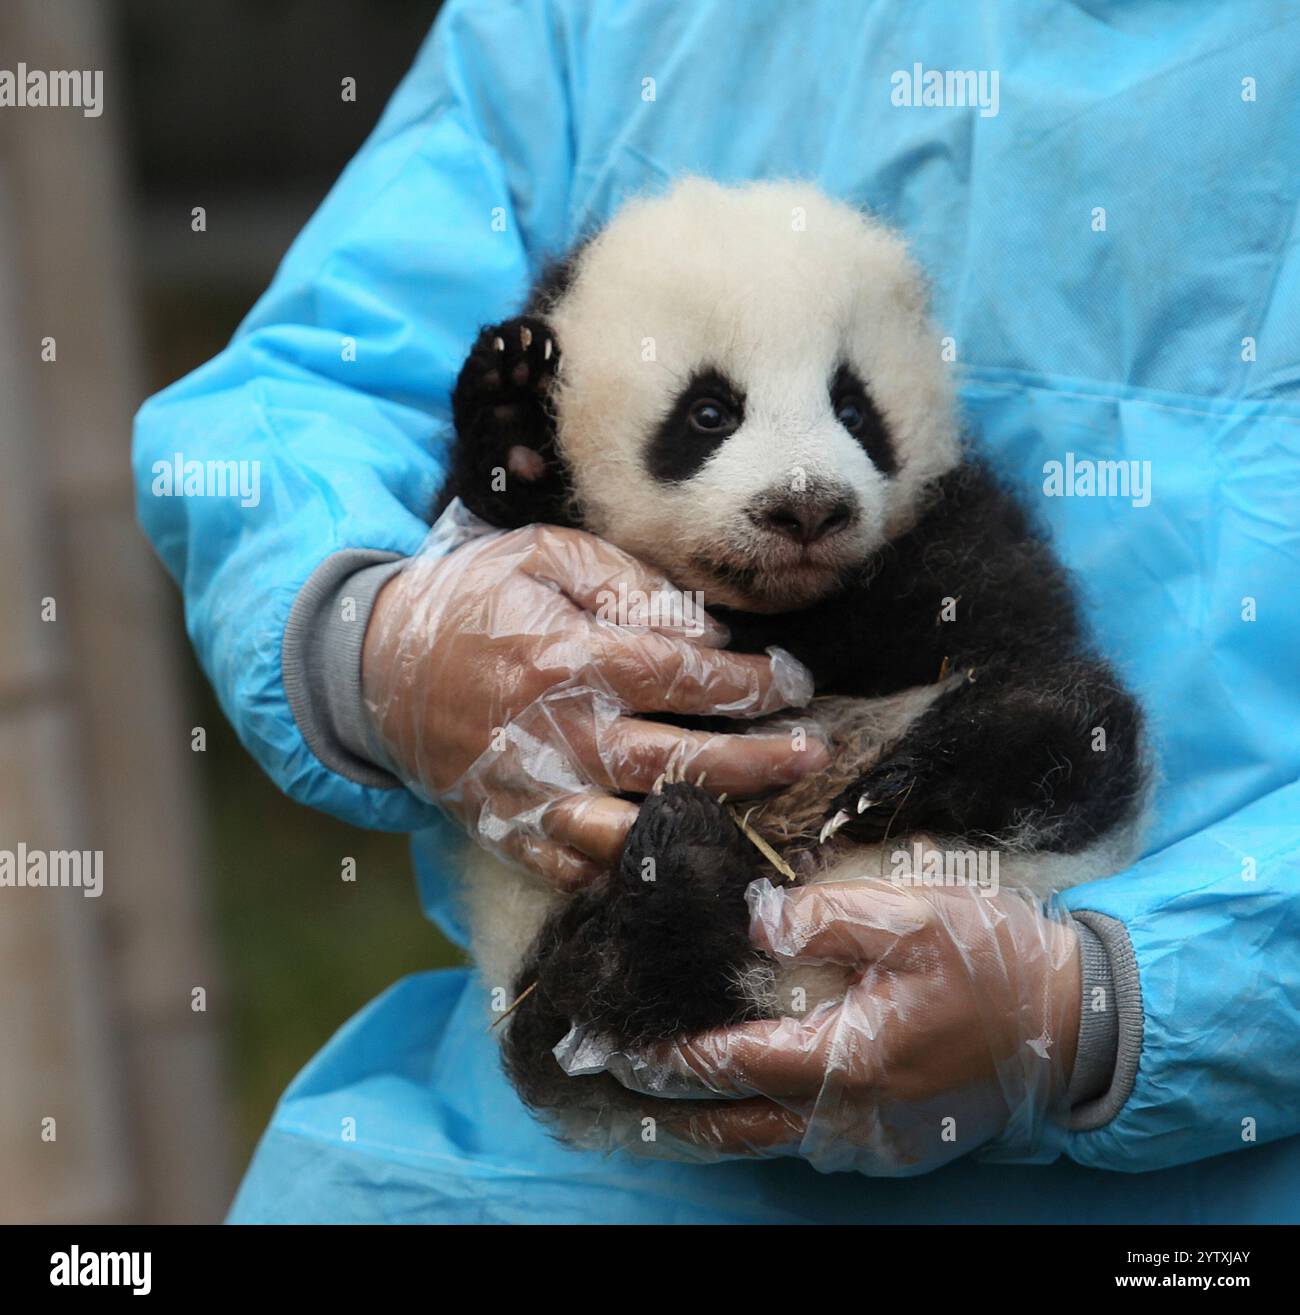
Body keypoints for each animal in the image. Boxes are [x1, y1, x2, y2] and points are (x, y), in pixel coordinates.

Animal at [435, 178, 1151, 1145]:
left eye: (854, 409)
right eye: (709, 411)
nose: (806, 507)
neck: (774, 609)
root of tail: (802, 979)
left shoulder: (947, 537)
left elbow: (1019, 638)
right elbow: (496, 519)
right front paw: (515, 413)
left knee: (1076, 727)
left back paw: (899, 787)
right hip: (544, 967)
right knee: (594, 993)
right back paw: (684, 864)